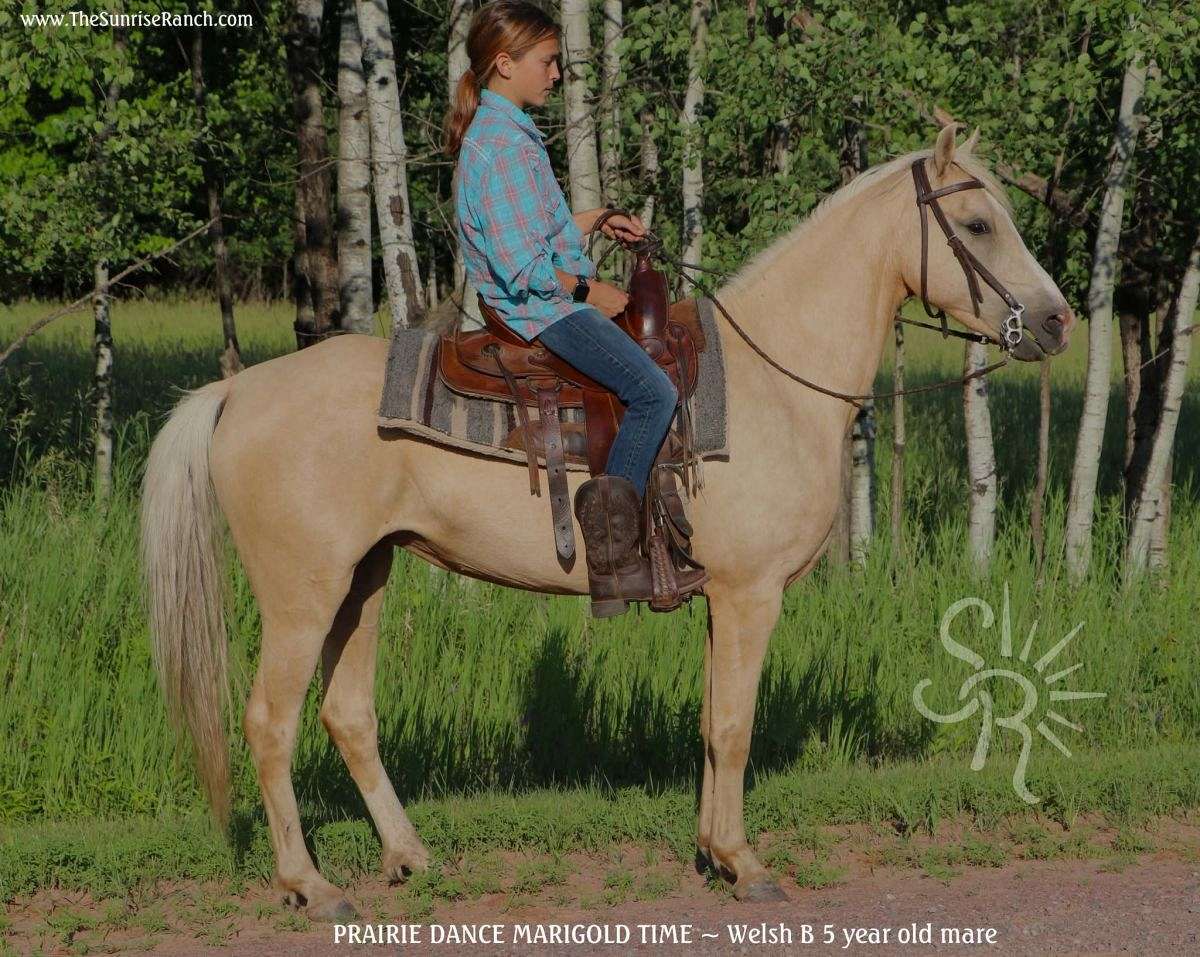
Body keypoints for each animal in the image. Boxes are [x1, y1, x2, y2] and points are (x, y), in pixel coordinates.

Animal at [141, 126, 1074, 917]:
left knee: (348, 713)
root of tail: (238, 390)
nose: (1058, 319)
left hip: (363, 579)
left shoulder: (722, 598)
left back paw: (410, 855)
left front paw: (712, 850)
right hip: (303, 593)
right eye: (979, 222)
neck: (775, 380)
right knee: (271, 720)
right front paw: (747, 864)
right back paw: (310, 883)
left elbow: (710, 722)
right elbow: (733, 727)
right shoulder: (752, 595)